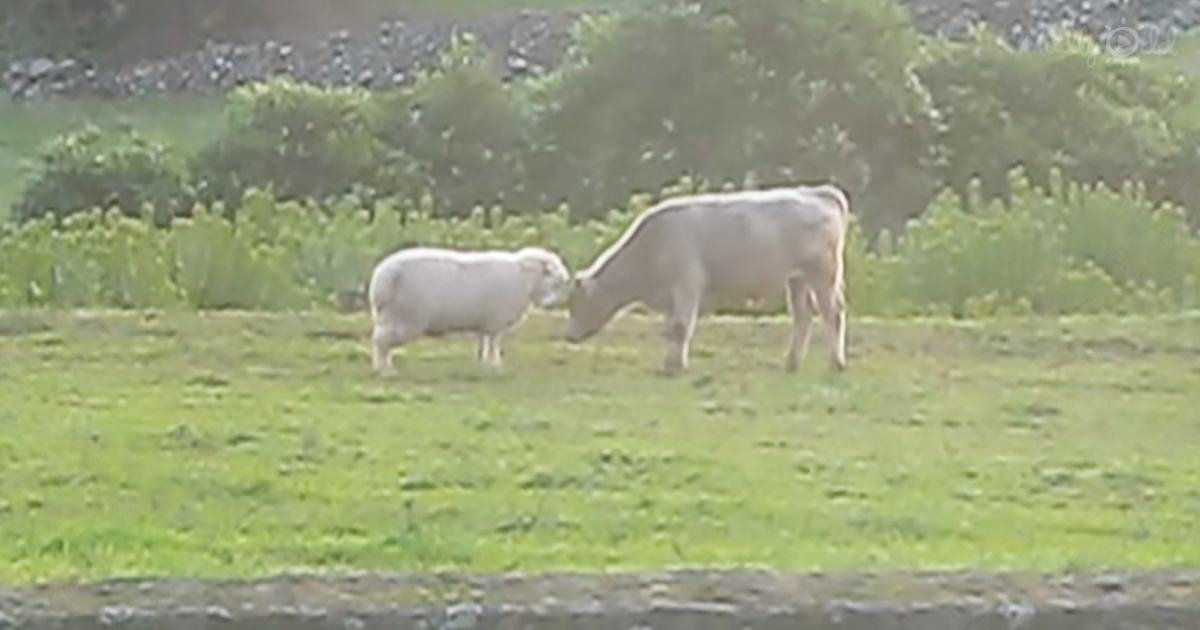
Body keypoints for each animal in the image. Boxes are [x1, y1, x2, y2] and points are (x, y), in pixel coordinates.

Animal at [367, 246, 570, 375]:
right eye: (555, 283)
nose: (551, 306)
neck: (525, 279)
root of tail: (383, 277)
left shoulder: (484, 323)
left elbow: (482, 343)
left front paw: (481, 364)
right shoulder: (496, 322)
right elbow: (494, 344)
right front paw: (496, 366)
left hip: (389, 316)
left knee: (382, 341)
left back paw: (384, 367)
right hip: (404, 317)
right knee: (381, 341)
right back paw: (384, 370)